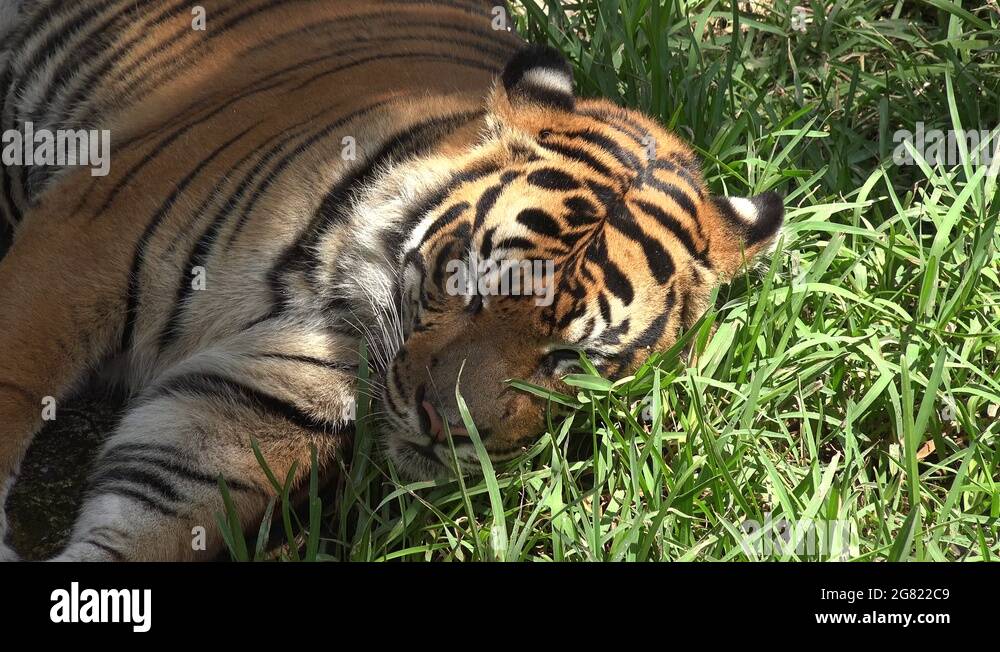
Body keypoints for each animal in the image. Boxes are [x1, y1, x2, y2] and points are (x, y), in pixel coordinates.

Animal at [0, 0, 783, 562]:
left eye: (571, 359)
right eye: (472, 284)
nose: (447, 431)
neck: (333, 288)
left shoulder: (258, 409)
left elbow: (153, 510)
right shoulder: (80, 250)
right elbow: (11, 390)